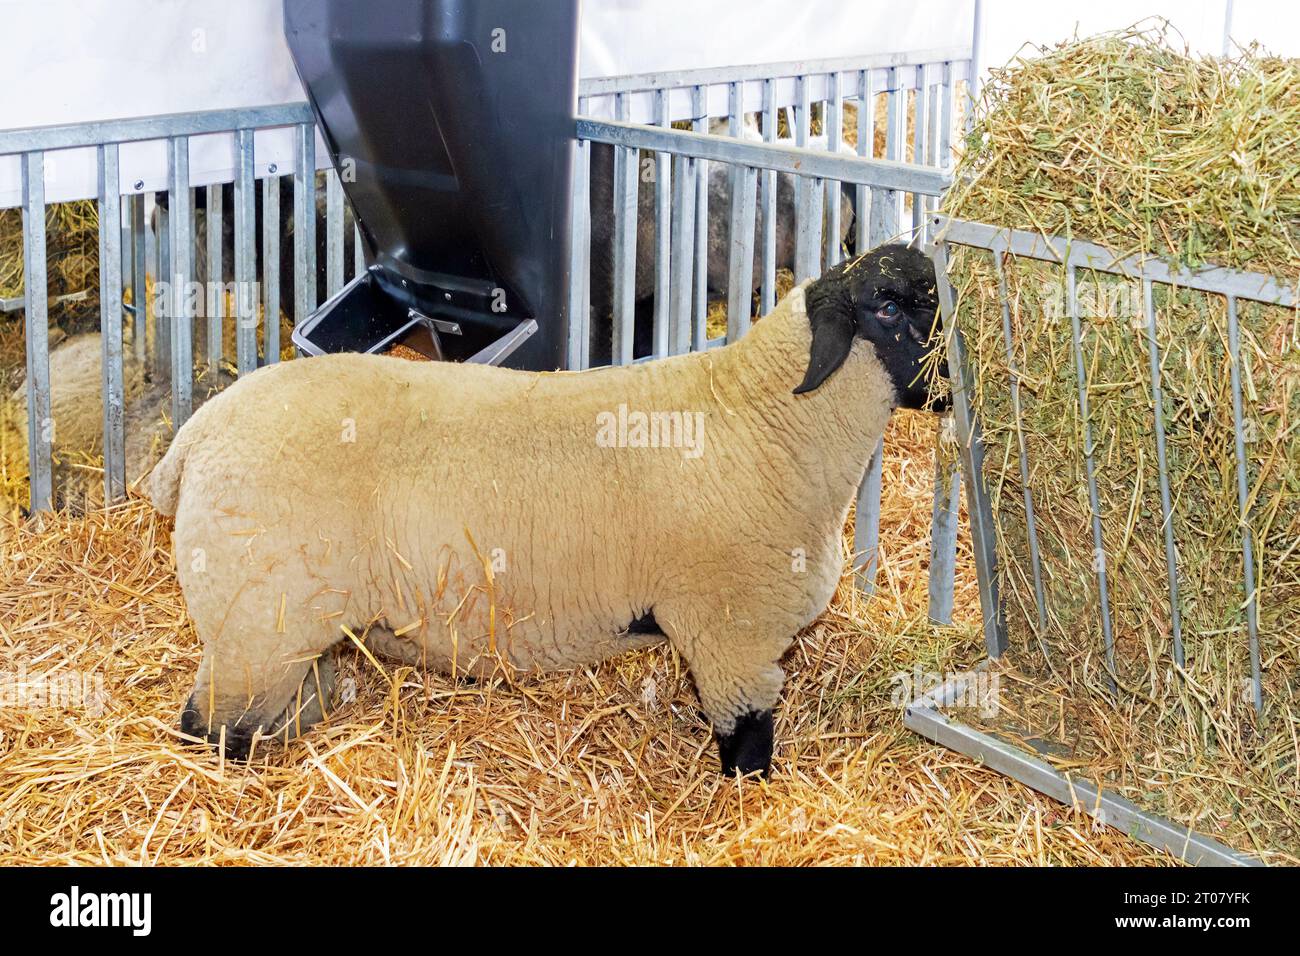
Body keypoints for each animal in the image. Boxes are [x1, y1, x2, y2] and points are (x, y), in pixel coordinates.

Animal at [149, 243, 947, 777]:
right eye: (889, 306)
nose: (952, 389)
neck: (766, 421)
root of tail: (195, 438)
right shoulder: (732, 640)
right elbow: (748, 751)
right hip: (255, 624)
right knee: (206, 728)